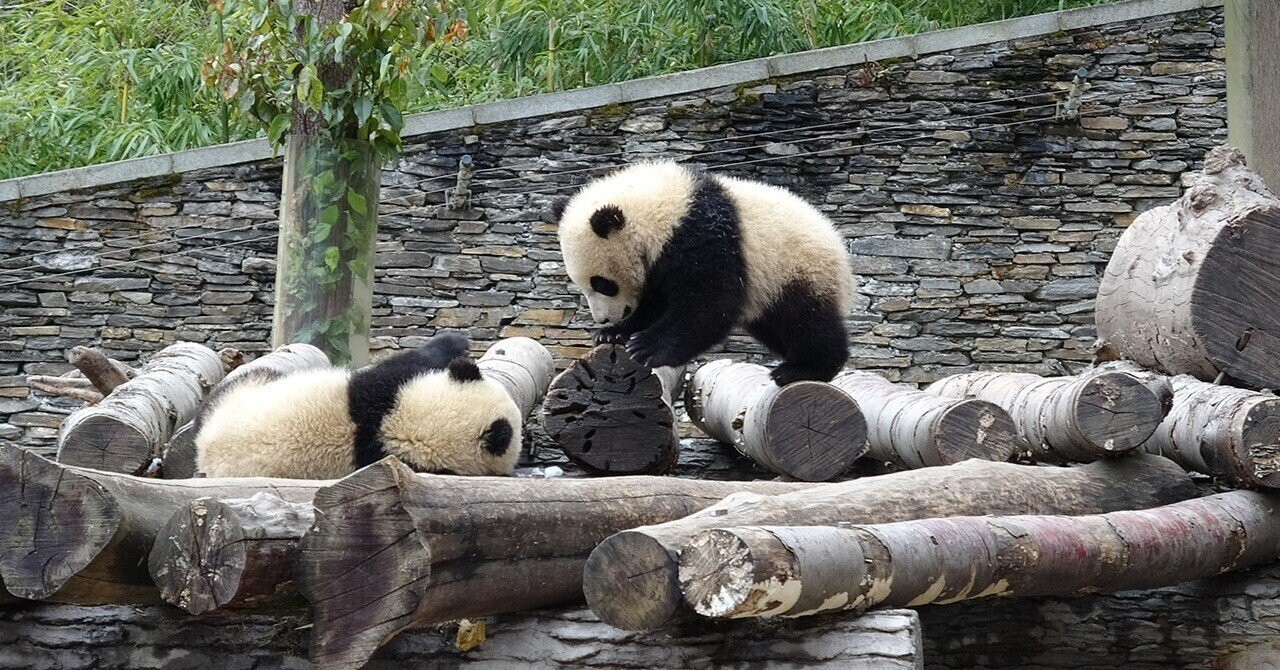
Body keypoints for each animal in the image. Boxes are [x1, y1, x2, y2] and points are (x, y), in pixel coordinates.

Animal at [553, 161, 857, 385]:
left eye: (603, 284)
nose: (604, 318)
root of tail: (840, 248)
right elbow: (656, 303)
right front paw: (613, 334)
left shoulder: (703, 237)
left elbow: (710, 302)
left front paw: (648, 347)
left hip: (798, 267)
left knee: (805, 319)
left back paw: (804, 367)